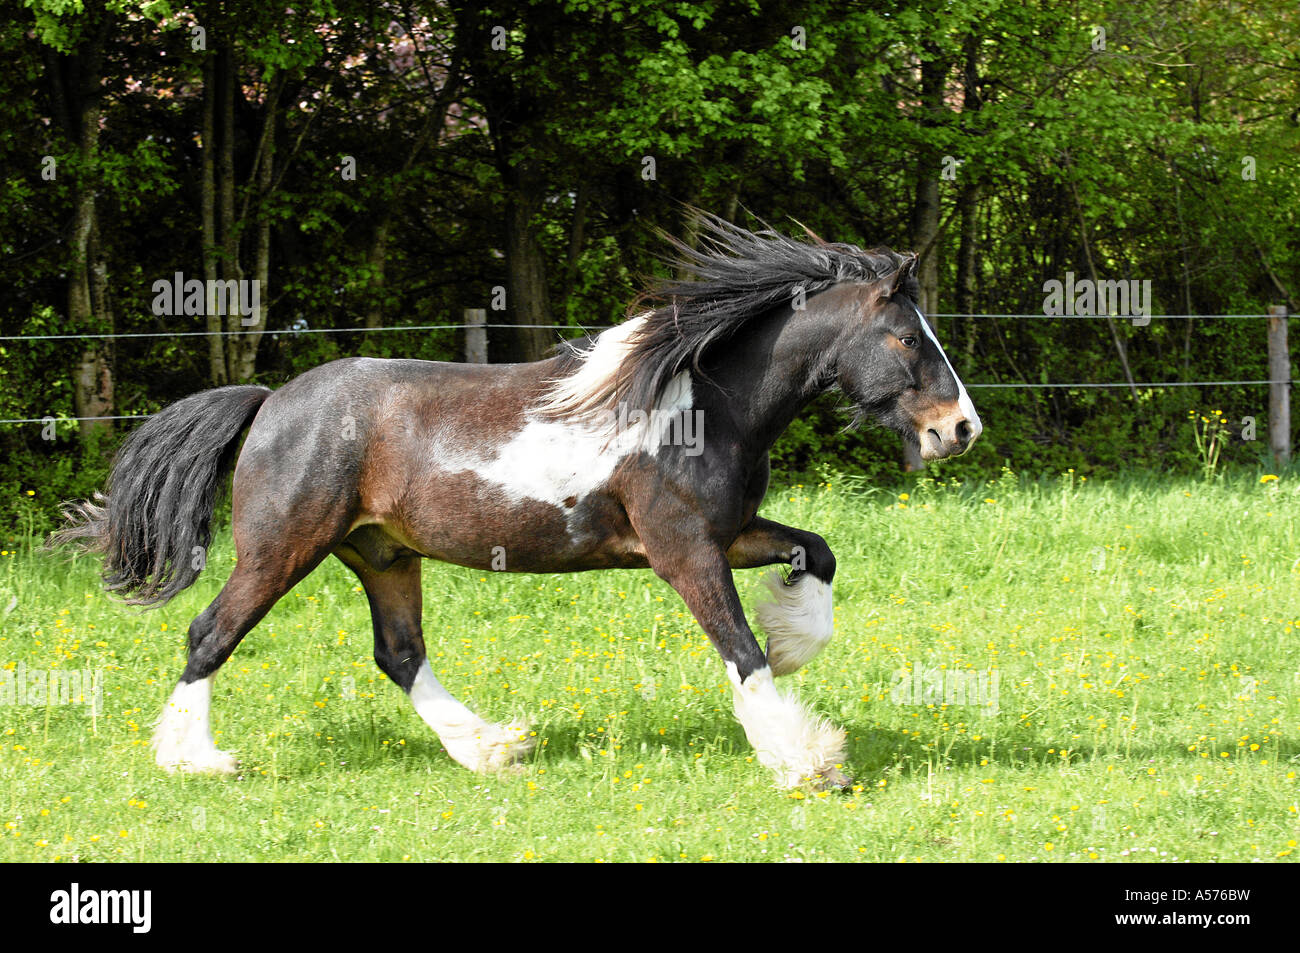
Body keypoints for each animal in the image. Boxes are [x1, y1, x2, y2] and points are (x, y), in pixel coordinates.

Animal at [50, 211, 981, 788]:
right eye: (906, 337)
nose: (960, 428)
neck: (697, 403)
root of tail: (270, 400)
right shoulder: (684, 550)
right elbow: (739, 651)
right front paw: (807, 759)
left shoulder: (730, 531)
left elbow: (816, 552)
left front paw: (796, 646)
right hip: (284, 546)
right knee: (211, 632)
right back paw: (195, 760)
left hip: (382, 553)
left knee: (399, 653)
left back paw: (493, 746)